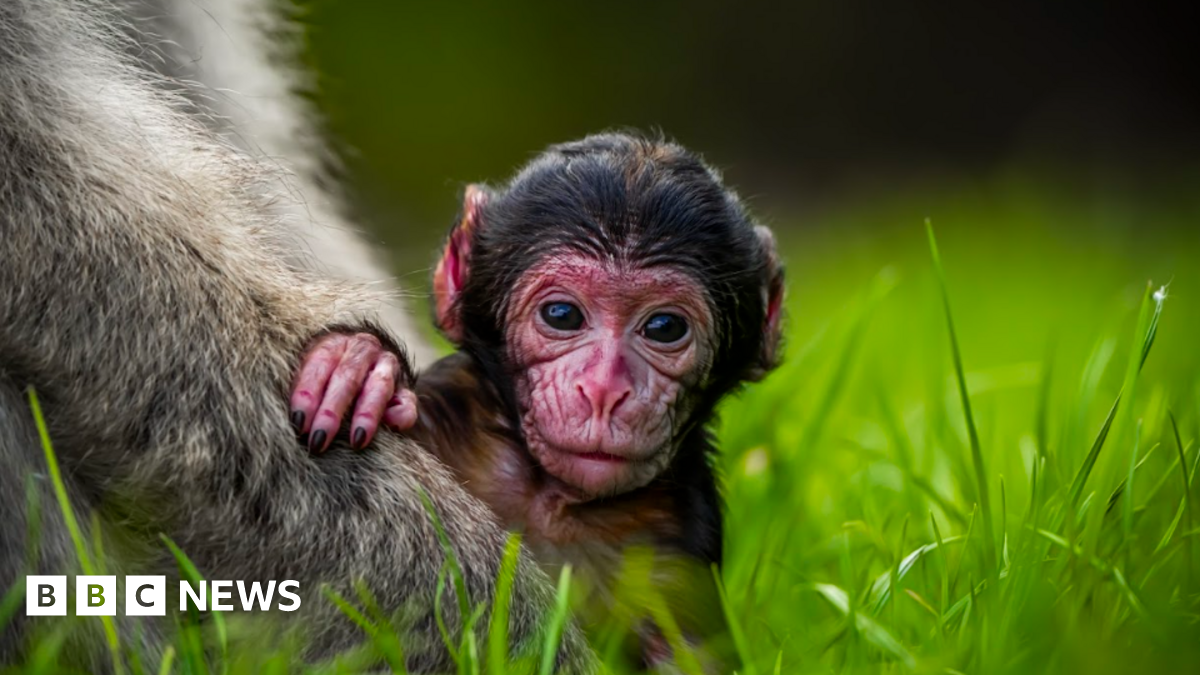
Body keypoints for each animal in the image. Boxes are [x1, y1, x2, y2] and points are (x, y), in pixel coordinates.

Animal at [291, 132, 786, 671]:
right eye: (562, 315)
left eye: (664, 327)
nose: (604, 390)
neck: (549, 497)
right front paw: (358, 366)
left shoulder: (677, 549)